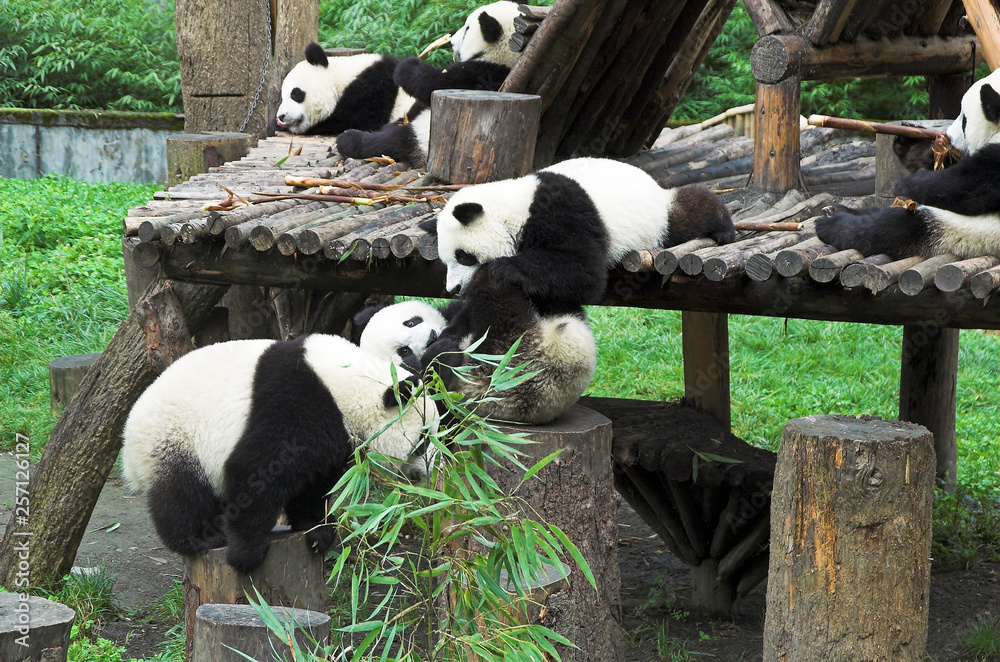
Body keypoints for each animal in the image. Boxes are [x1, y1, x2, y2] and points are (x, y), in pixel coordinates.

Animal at [121, 334, 438, 574]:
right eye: (422, 441)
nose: (429, 473)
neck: (348, 384)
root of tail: (129, 445)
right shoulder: (295, 400)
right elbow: (256, 470)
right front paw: (245, 553)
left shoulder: (333, 434)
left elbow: (314, 483)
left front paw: (317, 532)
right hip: (175, 438)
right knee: (182, 493)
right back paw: (200, 537)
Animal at [336, 1, 521, 166]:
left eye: (467, 29)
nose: (451, 41)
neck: (504, 56)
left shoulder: (484, 74)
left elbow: (435, 84)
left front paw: (406, 66)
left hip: (424, 137)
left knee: (390, 142)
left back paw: (349, 140)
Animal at [421, 157, 736, 304]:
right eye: (445, 261)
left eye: (464, 256)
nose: (453, 289)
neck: (512, 210)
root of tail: (651, 181)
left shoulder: (561, 214)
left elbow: (581, 271)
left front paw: (501, 269)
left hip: (657, 219)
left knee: (689, 211)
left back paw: (724, 228)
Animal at [816, 69, 1000, 260]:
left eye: (964, 120)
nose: (949, 136)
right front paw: (910, 144)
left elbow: (965, 187)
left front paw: (908, 183)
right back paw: (834, 210)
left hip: (967, 233)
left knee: (895, 227)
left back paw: (832, 223)